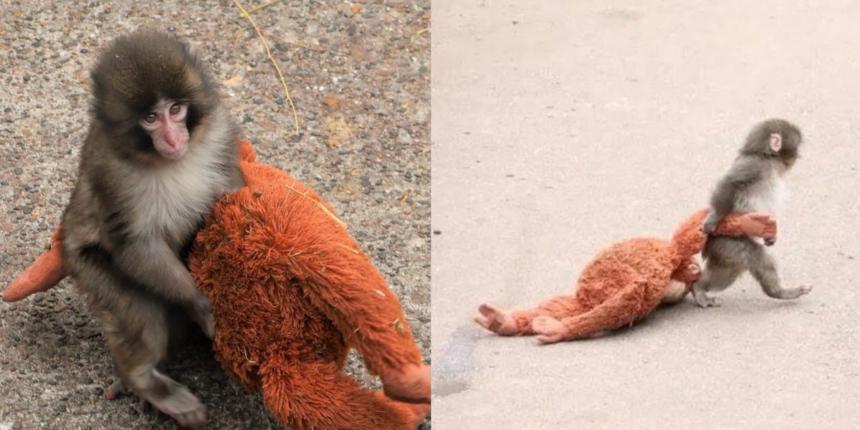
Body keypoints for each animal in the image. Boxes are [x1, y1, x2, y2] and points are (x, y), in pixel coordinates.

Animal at [59, 30, 244, 427]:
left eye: (175, 110)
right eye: (150, 118)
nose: (174, 139)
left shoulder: (219, 132)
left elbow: (233, 192)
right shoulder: (111, 173)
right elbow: (135, 245)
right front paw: (199, 303)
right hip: (85, 266)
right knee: (143, 315)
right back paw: (142, 379)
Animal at [691, 118, 812, 308]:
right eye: (797, 146)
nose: (798, 156)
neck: (767, 158)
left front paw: (770, 237)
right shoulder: (754, 165)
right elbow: (730, 184)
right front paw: (713, 219)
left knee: (730, 270)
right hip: (727, 242)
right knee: (753, 256)